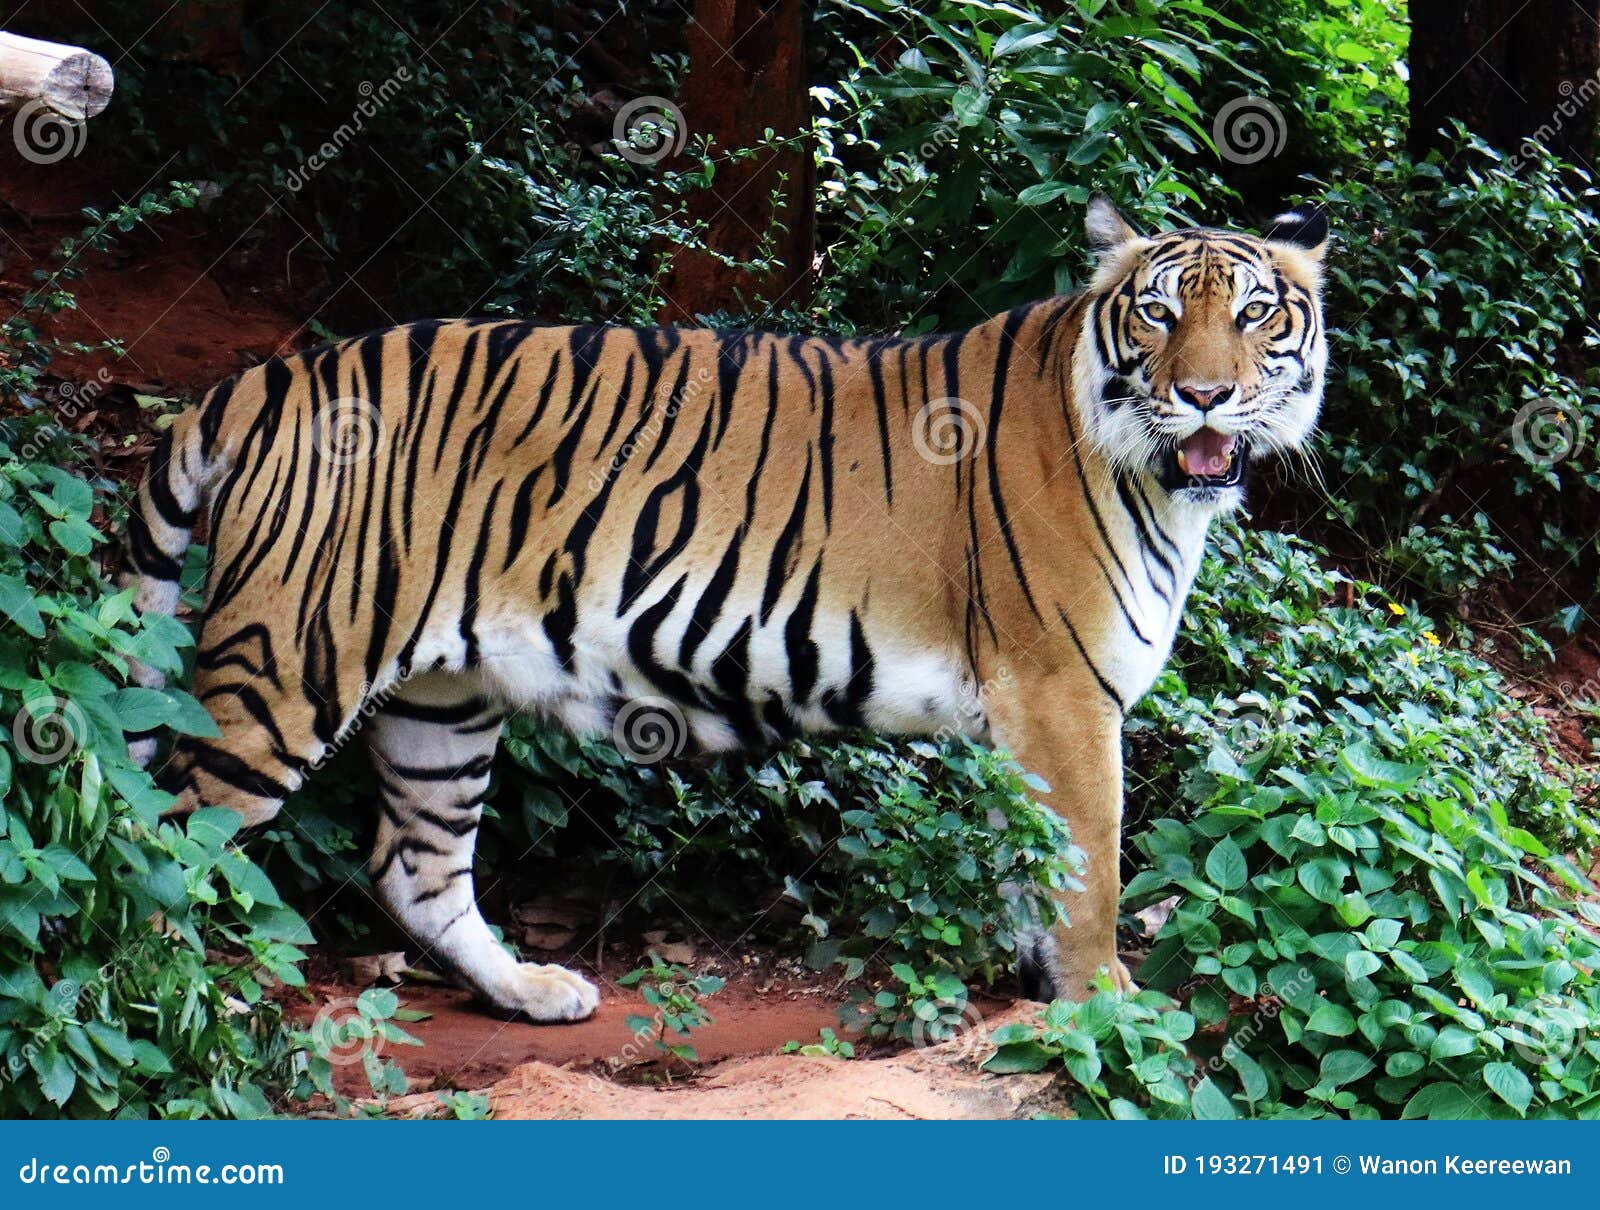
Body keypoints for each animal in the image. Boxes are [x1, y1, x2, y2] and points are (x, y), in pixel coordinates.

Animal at [121, 197, 1328, 1021]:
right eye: (1159, 315)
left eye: (1254, 315)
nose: (1205, 394)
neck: (1161, 485)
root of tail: (277, 376)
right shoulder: (1062, 695)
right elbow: (1091, 868)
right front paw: (1104, 1006)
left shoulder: (1022, 719)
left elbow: (1027, 863)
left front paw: (1032, 983)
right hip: (283, 669)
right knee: (159, 836)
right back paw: (181, 1009)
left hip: (442, 698)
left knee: (413, 869)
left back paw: (533, 991)